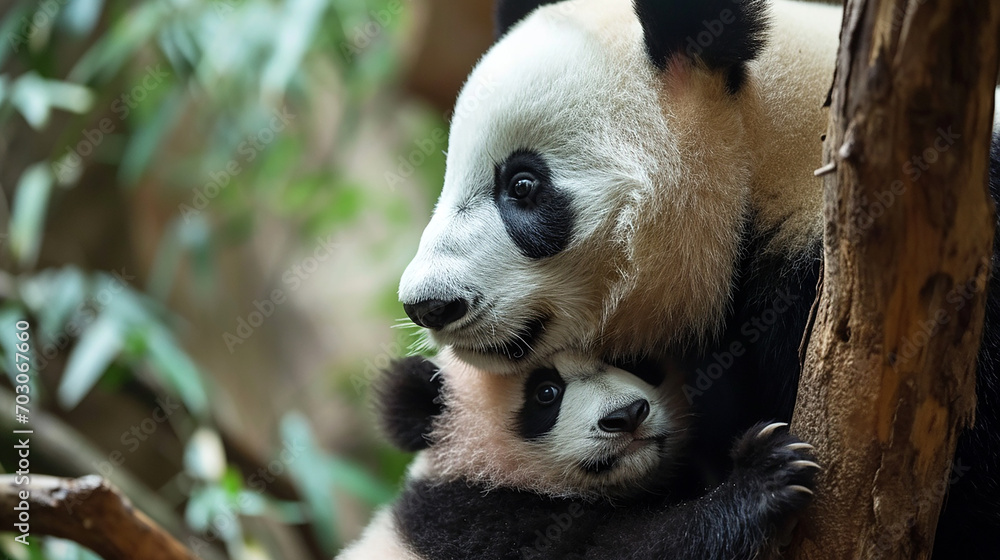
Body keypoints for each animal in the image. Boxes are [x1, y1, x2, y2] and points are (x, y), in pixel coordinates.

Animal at [339, 350, 820, 560]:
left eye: (628, 357)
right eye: (546, 393)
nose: (627, 415)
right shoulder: (472, 524)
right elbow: (606, 553)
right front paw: (764, 474)